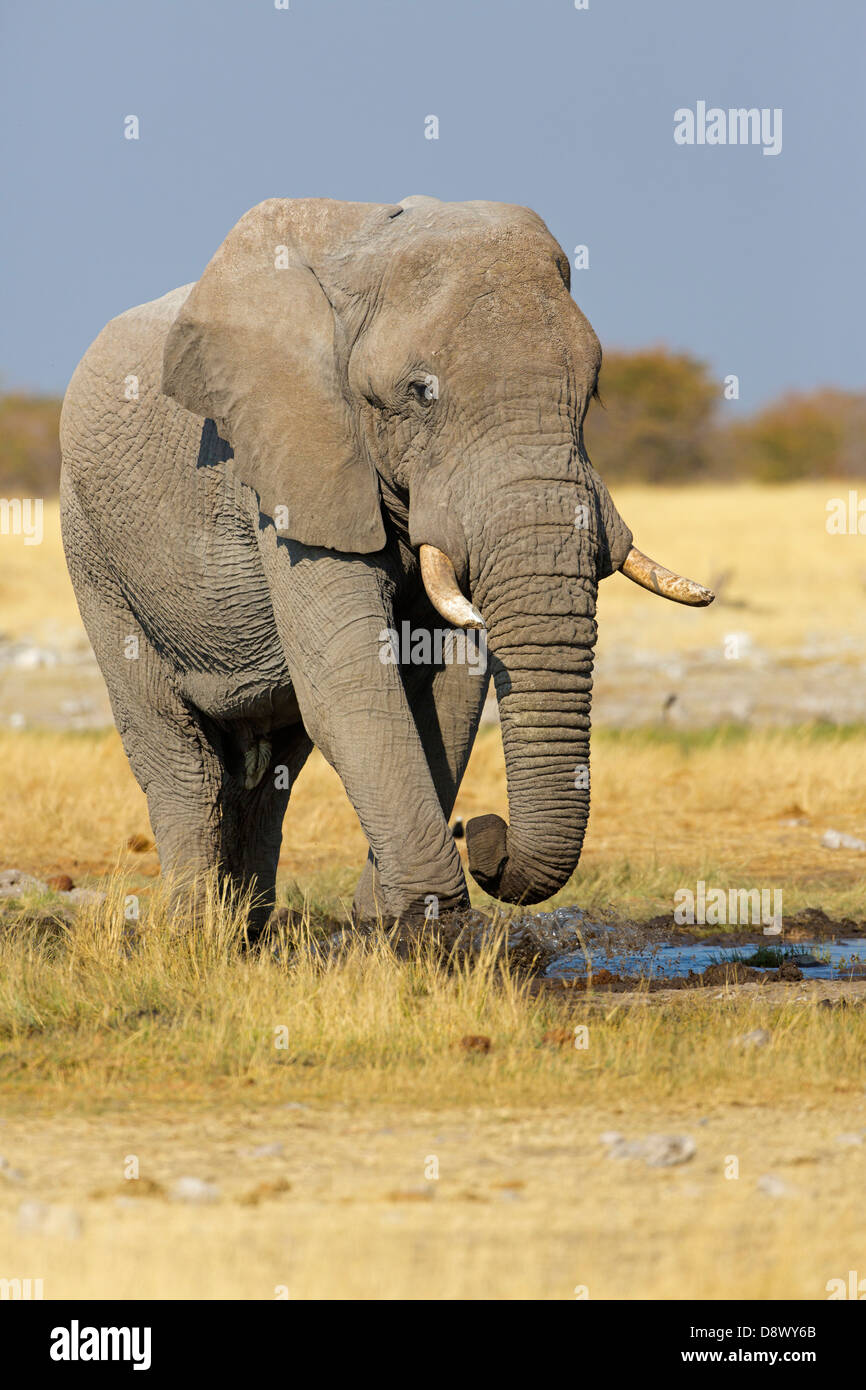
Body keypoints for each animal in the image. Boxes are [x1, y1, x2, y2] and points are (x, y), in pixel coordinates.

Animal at [59, 195, 713, 935]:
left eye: (594, 391)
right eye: (421, 392)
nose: (482, 831)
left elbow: (448, 689)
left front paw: (393, 929)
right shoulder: (290, 468)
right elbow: (350, 681)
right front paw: (424, 930)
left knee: (272, 770)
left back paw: (246, 937)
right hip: (93, 548)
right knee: (179, 756)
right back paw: (197, 937)